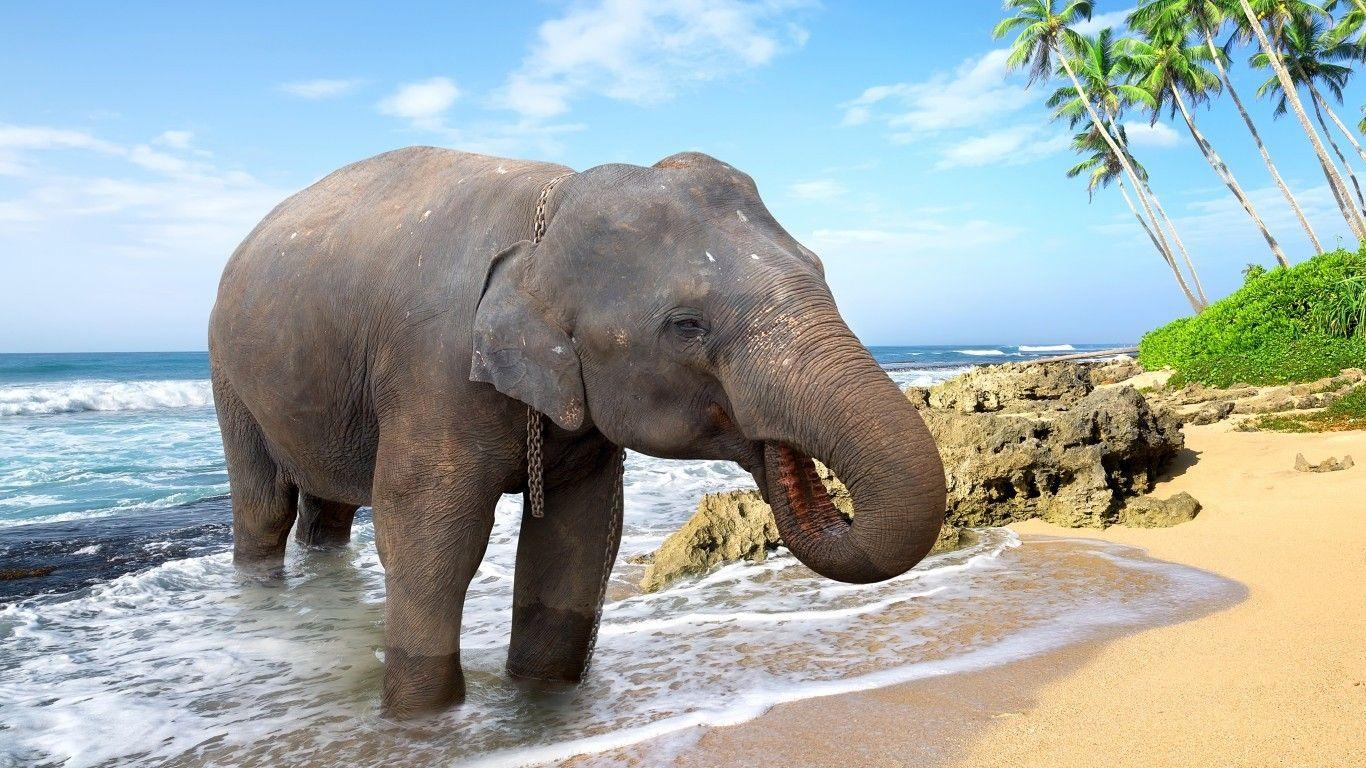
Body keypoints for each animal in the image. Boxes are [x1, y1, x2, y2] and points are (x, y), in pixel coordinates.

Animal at [208, 146, 946, 718]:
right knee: (265, 505)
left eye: (820, 270)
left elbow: (578, 540)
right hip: (228, 376)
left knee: (329, 510)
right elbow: (428, 539)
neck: (547, 217)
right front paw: (420, 721)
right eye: (687, 326)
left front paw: (539, 700)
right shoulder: (434, 368)